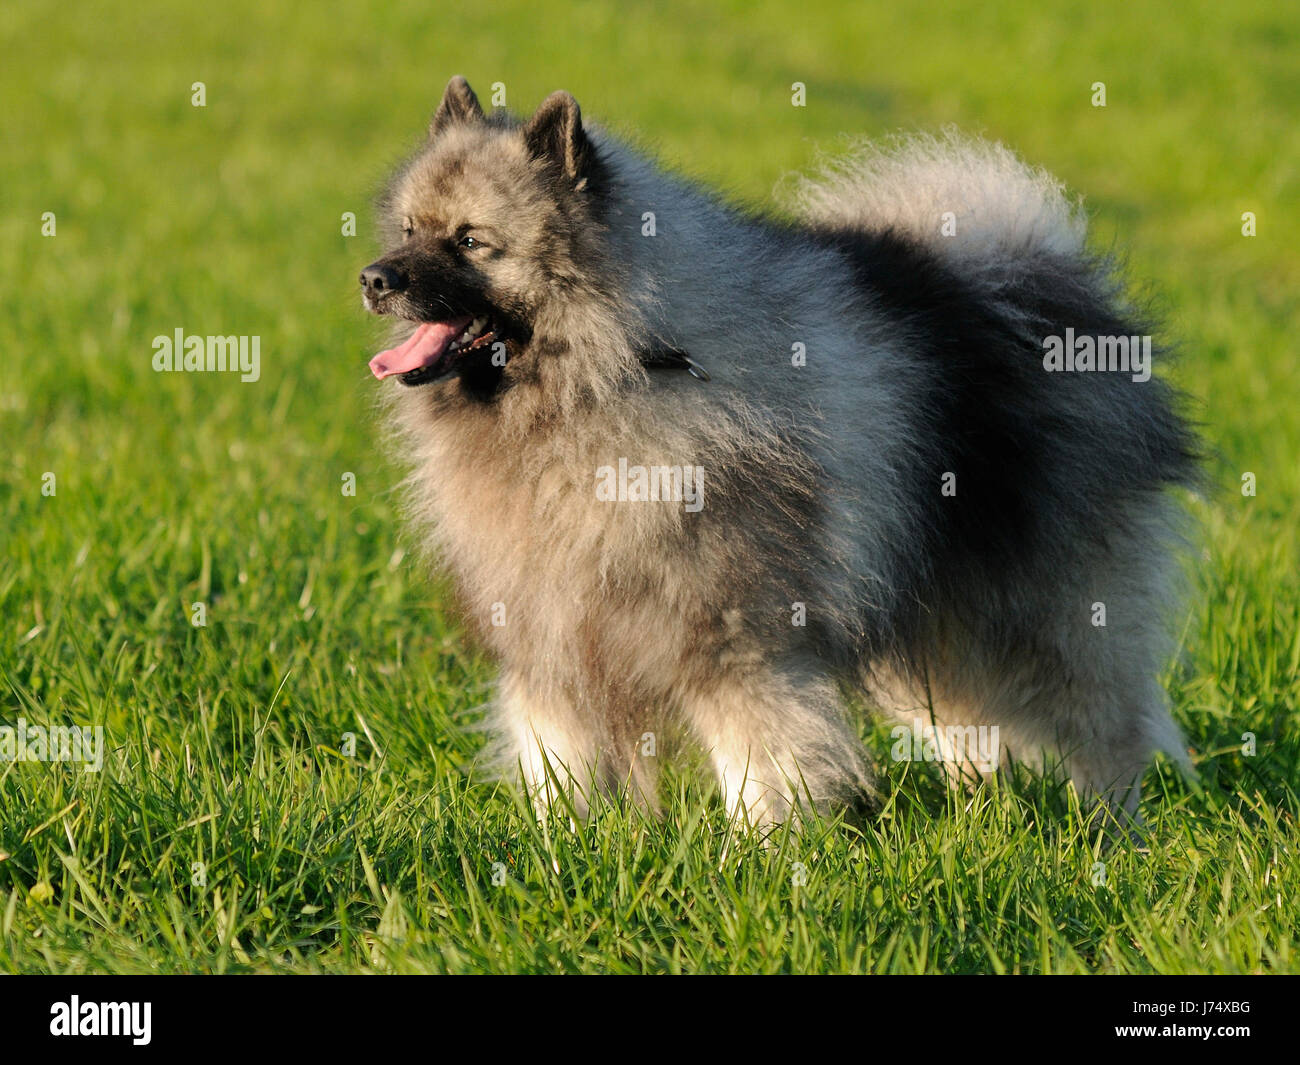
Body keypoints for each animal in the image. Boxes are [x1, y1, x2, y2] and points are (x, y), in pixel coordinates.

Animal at [359, 76, 1198, 827]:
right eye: (407, 229)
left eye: (471, 241)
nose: (374, 278)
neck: (617, 371)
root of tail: (1043, 280)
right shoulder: (552, 638)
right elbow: (559, 766)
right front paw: (560, 847)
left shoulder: (740, 646)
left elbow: (763, 770)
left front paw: (761, 862)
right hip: (947, 608)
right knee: (972, 727)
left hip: (1052, 614)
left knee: (1108, 730)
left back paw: (1113, 837)